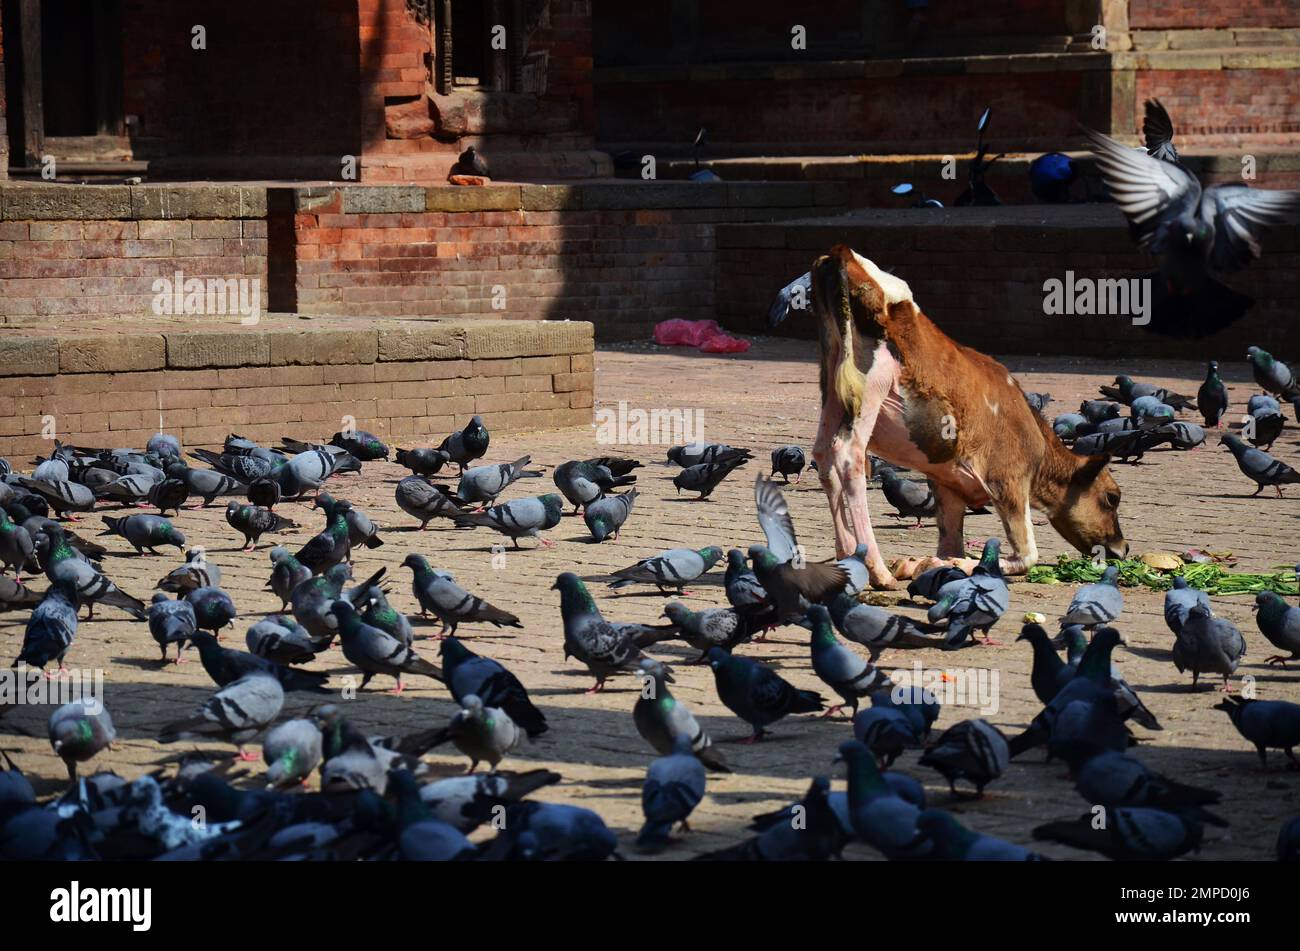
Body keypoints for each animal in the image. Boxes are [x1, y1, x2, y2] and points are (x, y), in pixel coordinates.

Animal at [790, 245, 1127, 589]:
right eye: (1112, 497)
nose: (1122, 548)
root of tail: (842, 252)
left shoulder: (948, 483)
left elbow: (951, 543)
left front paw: (929, 563)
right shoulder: (1008, 479)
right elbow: (1026, 556)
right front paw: (963, 564)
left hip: (833, 383)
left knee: (824, 454)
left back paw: (847, 554)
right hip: (873, 383)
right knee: (849, 457)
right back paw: (877, 569)